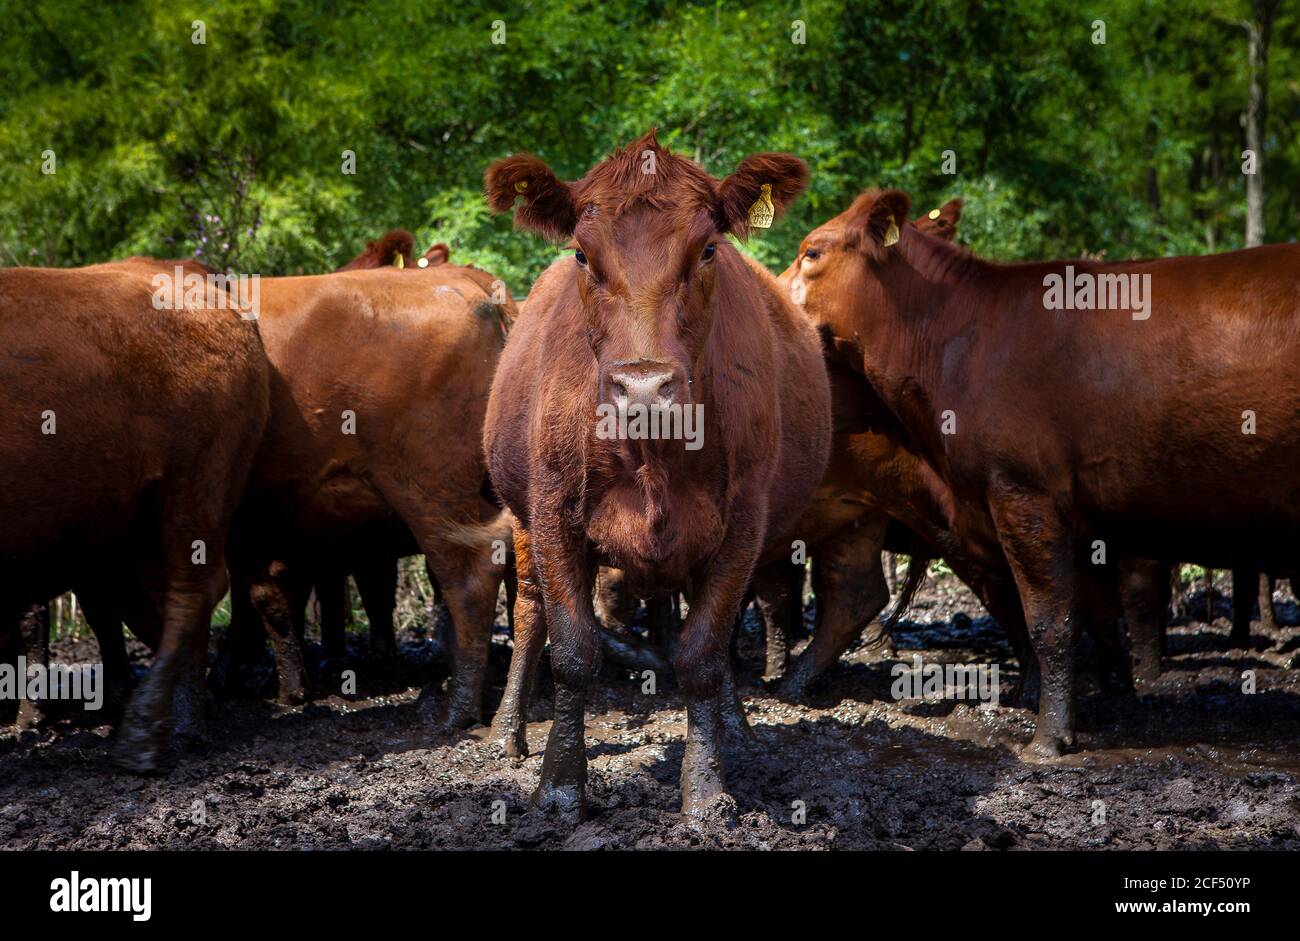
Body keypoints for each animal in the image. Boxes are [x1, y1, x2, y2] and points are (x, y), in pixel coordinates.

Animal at [482, 131, 830, 823]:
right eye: (583, 255)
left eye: (708, 249)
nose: (644, 387)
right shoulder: (555, 513)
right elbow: (573, 649)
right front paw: (560, 787)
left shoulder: (743, 522)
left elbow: (703, 652)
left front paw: (707, 787)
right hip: (522, 520)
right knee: (529, 610)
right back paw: (507, 732)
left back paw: (735, 730)